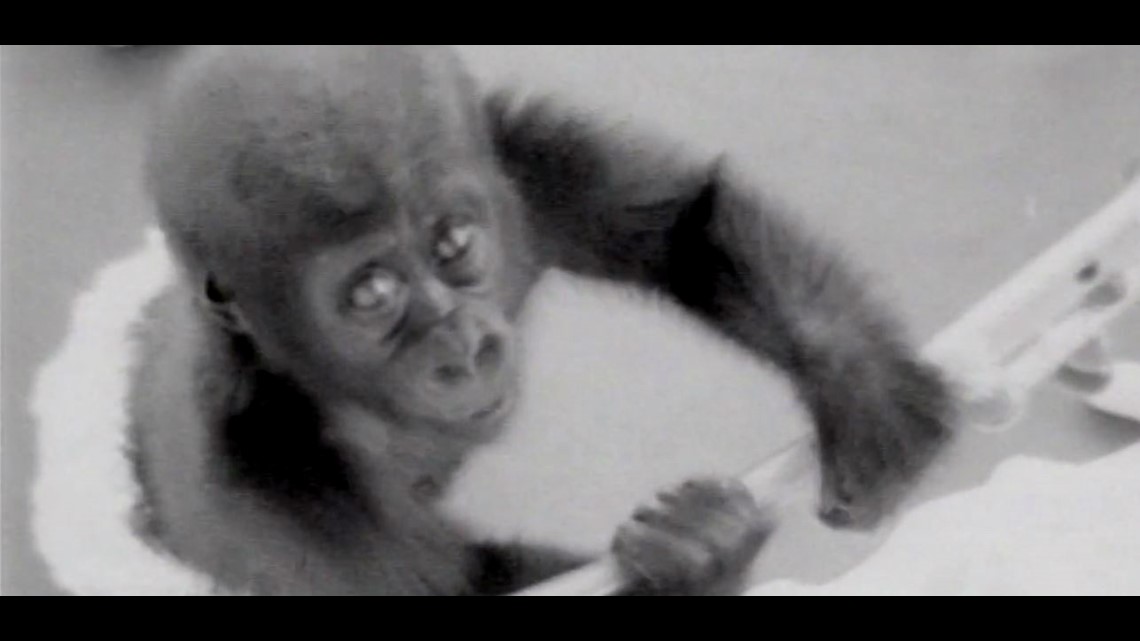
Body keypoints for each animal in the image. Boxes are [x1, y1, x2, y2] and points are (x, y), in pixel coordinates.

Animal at [128, 45, 953, 597]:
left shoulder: (518, 163)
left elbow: (684, 226)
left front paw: (861, 380)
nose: (464, 348)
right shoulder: (280, 506)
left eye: (456, 243)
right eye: (371, 293)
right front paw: (702, 557)